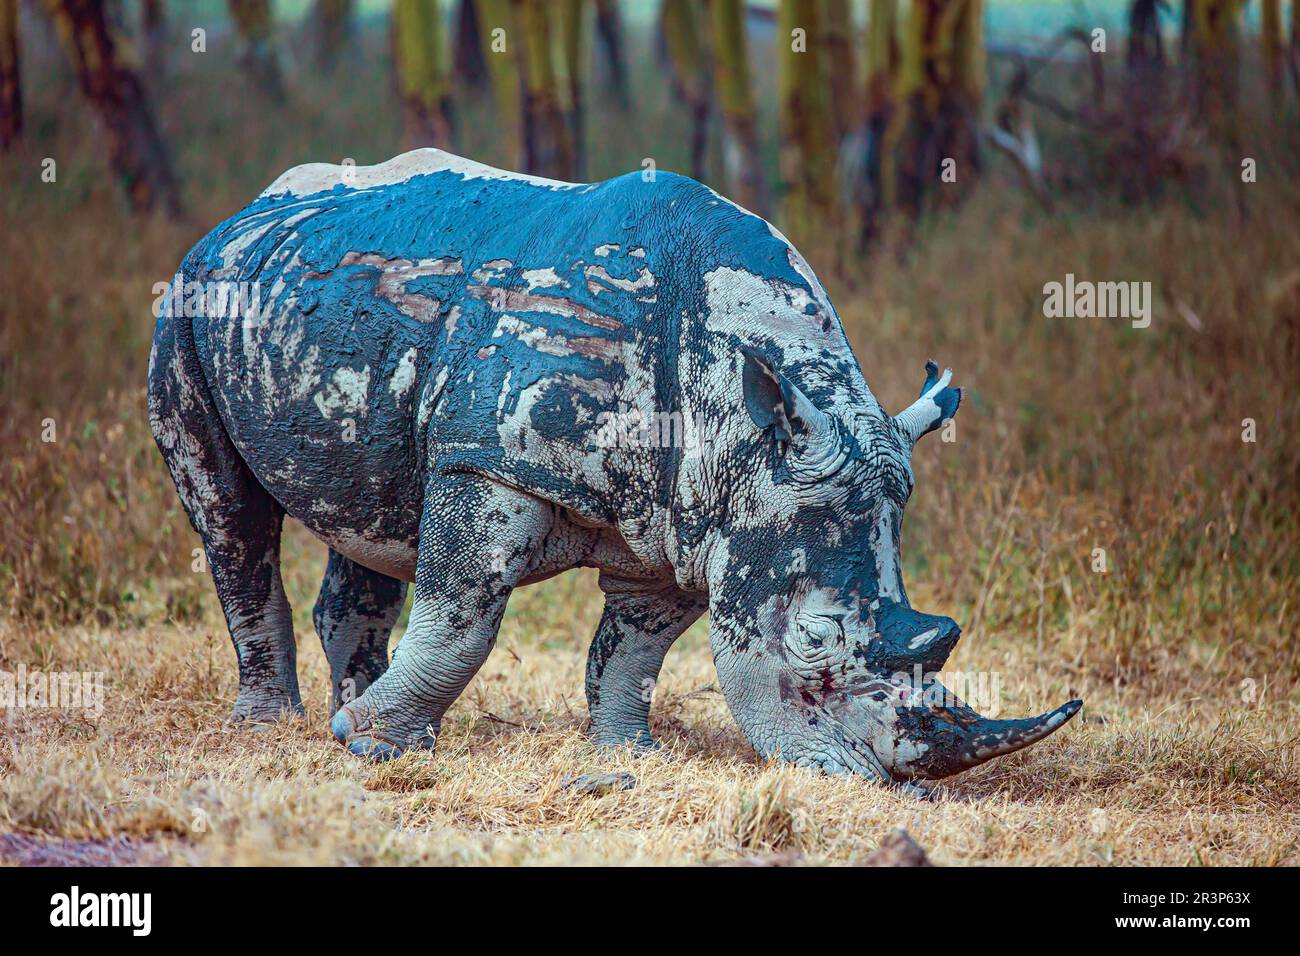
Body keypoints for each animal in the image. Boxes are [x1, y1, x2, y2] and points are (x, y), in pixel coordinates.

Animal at [149, 149, 1079, 788]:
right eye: (814, 643)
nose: (879, 785)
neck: (738, 422)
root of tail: (233, 218)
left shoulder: (690, 515)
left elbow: (635, 645)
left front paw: (629, 749)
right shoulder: (493, 465)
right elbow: (464, 617)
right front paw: (371, 749)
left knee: (369, 523)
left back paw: (353, 704)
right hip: (187, 304)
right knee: (230, 517)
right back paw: (276, 728)